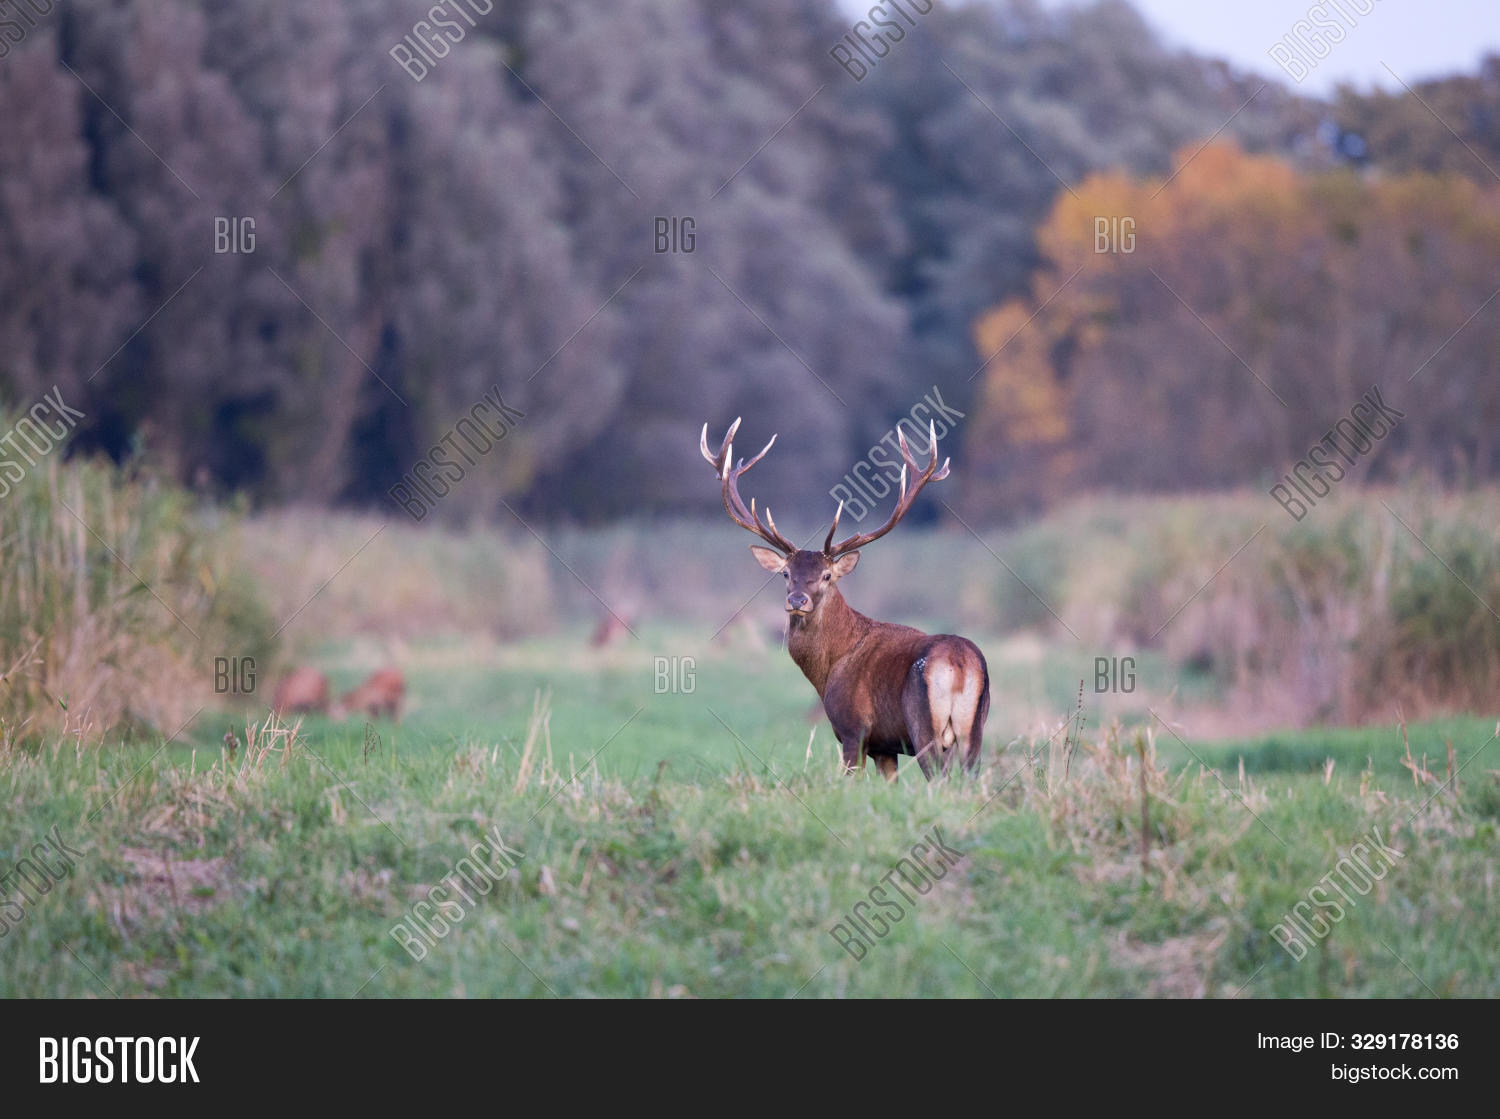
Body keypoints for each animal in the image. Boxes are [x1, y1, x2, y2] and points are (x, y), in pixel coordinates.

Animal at [701, 418, 989, 780]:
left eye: (827, 575)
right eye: (786, 574)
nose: (798, 600)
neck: (828, 668)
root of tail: (959, 664)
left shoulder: (854, 730)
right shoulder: (885, 747)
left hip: (925, 727)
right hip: (974, 730)